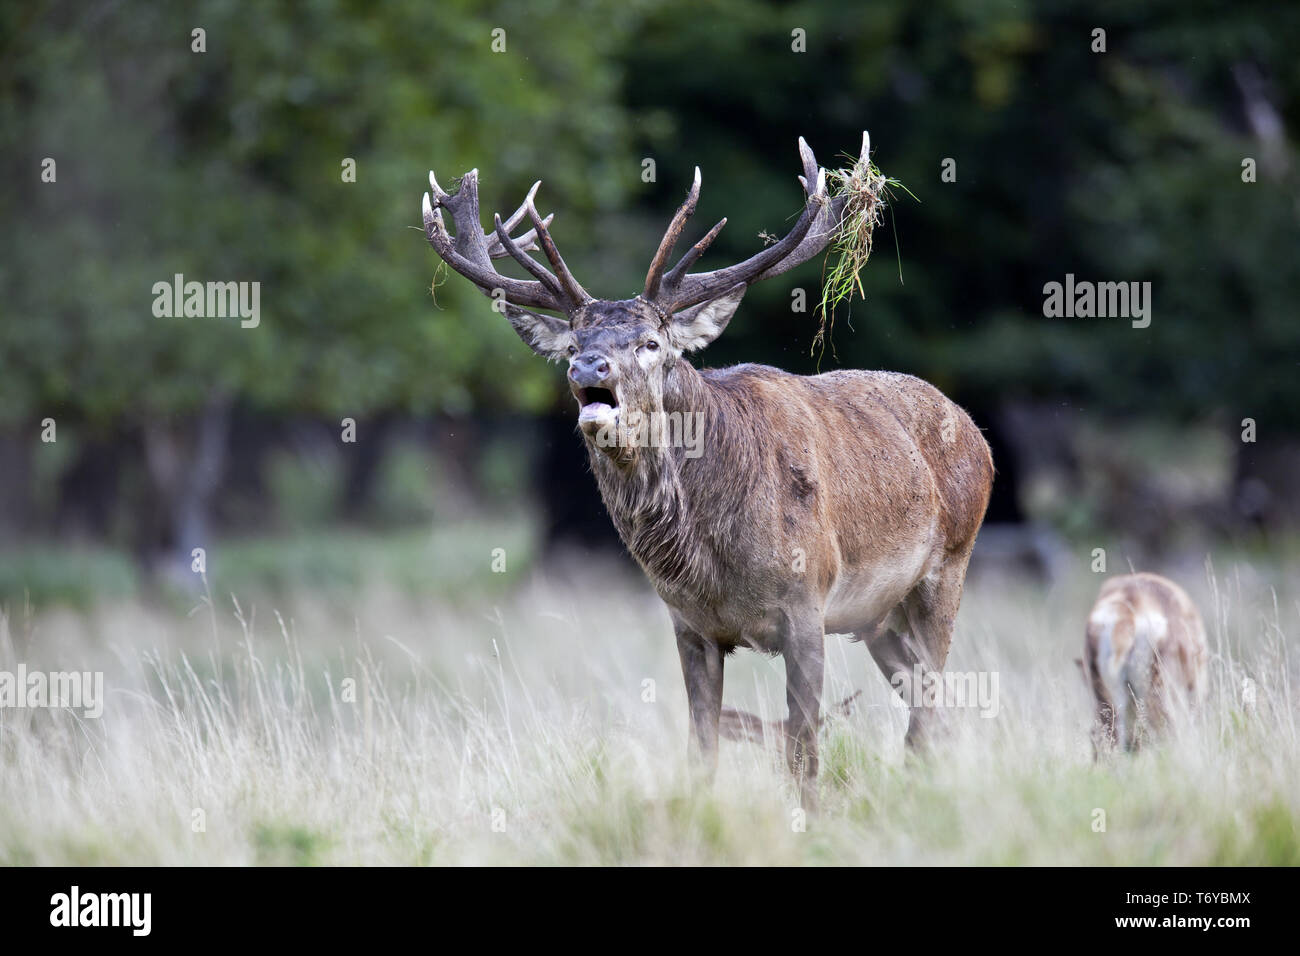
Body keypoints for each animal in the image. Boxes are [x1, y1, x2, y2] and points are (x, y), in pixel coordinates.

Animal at [421, 133, 994, 809]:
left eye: (650, 343)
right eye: (572, 344)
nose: (589, 368)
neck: (710, 561)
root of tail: (978, 434)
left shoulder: (808, 604)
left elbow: (804, 751)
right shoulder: (688, 624)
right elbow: (702, 751)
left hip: (947, 565)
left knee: (929, 710)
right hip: (877, 618)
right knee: (932, 711)